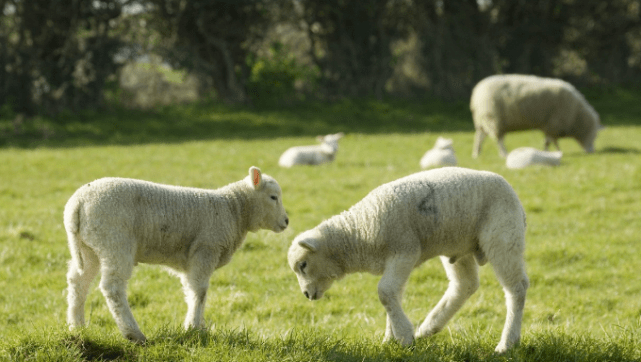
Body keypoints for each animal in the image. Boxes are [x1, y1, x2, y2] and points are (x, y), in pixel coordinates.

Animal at [63, 166, 288, 342]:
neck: (233, 209)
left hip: (89, 247)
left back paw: (77, 327)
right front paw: (194, 328)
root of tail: (78, 203)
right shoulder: (205, 250)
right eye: (273, 197)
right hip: (115, 242)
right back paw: (133, 333)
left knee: (78, 282)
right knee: (113, 288)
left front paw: (197, 327)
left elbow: (191, 291)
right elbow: (200, 291)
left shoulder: (191, 260)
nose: (286, 222)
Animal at [288, 168, 528, 354]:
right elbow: (393, 295)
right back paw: (429, 328)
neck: (359, 231)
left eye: (303, 265)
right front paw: (390, 339)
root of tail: (515, 196)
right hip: (459, 246)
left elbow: (385, 292)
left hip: (504, 237)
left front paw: (404, 337)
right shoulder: (394, 260)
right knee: (464, 285)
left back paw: (507, 343)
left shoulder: (404, 251)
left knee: (516, 288)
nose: (306, 294)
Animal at [470, 74, 600, 158]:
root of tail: (476, 94)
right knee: (498, 140)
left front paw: (552, 151)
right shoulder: (554, 123)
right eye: (594, 135)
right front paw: (553, 152)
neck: (576, 117)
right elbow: (550, 141)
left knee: (479, 137)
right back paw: (504, 154)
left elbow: (551, 141)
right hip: (493, 119)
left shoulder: (550, 126)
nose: (592, 152)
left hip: (483, 120)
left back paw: (476, 154)